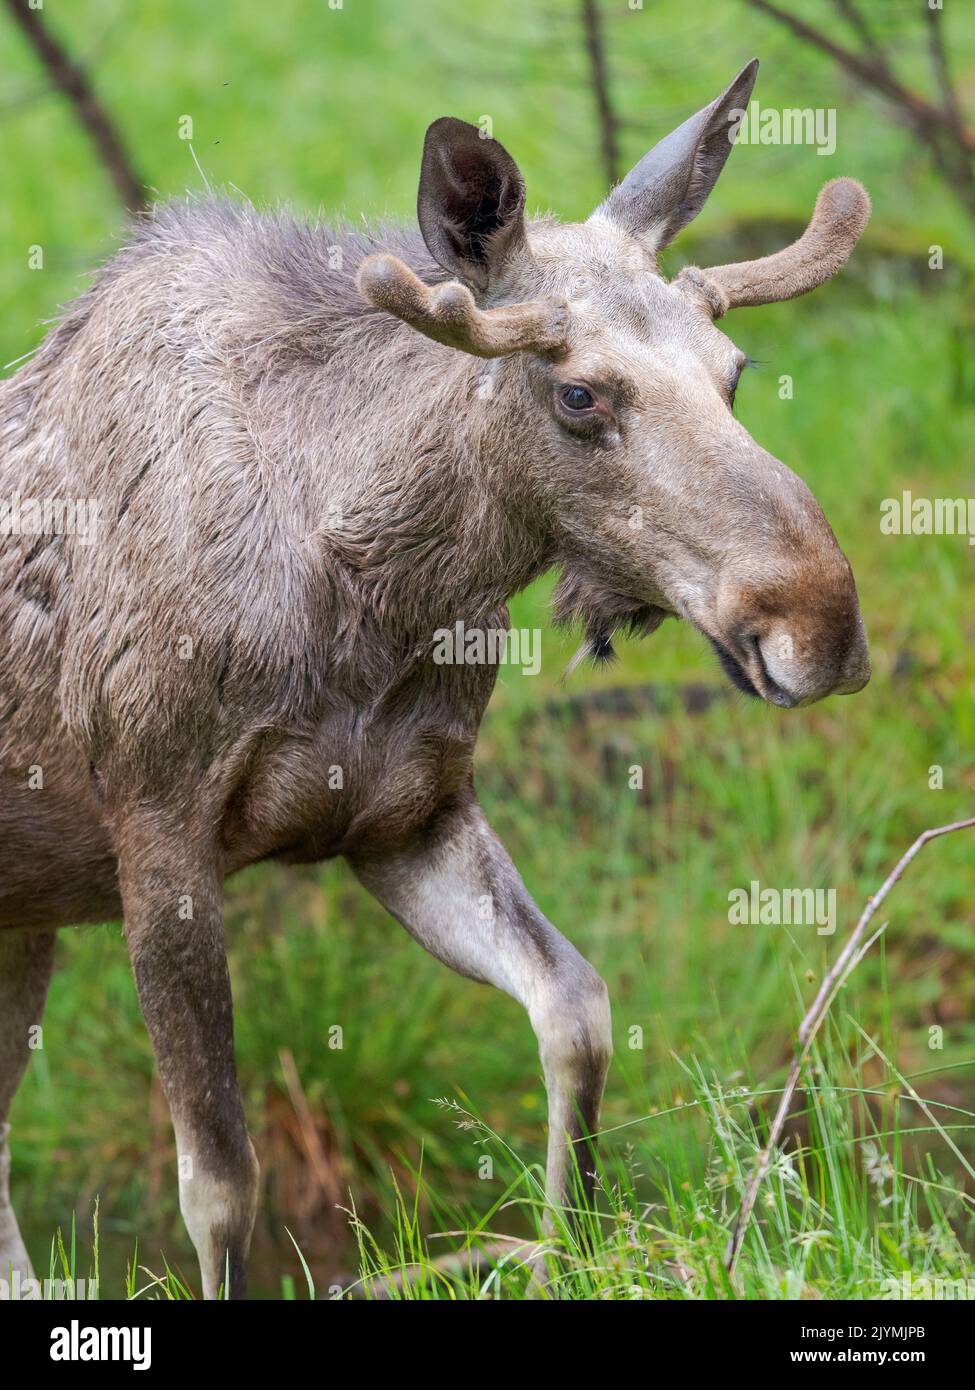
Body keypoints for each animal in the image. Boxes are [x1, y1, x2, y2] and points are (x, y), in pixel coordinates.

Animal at [0, 59, 871, 1298]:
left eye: (736, 372)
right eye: (578, 394)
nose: (819, 620)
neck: (377, 597)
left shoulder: (405, 813)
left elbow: (577, 1008)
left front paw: (572, 1243)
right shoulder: (158, 822)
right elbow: (217, 1183)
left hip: (24, 917)